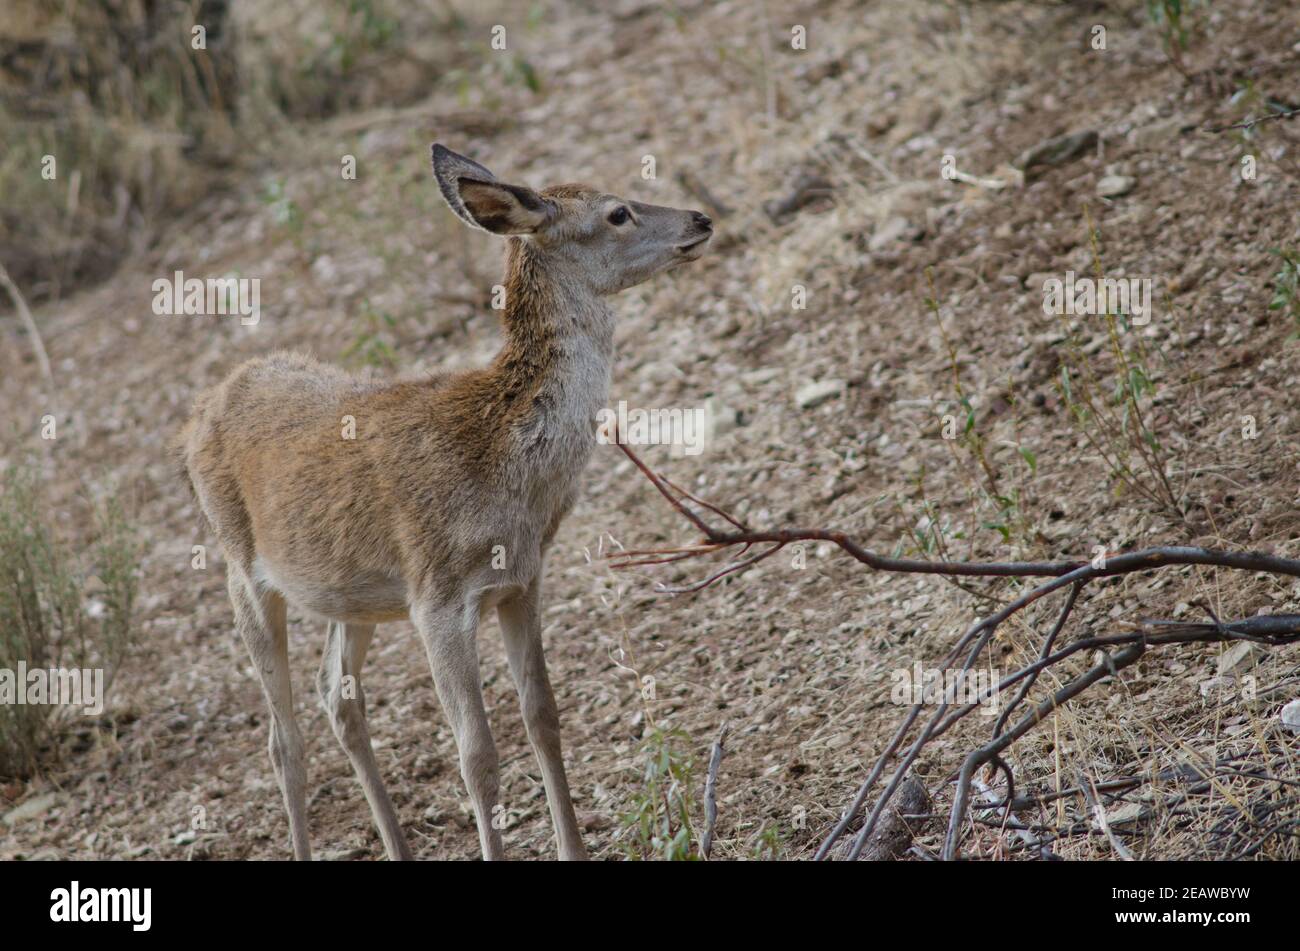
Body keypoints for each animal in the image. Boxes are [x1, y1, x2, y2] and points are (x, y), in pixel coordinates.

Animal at [176, 144, 713, 860]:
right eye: (617, 212)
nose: (700, 218)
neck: (504, 471)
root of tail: (199, 412)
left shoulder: (521, 580)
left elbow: (543, 717)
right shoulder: (436, 599)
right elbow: (476, 755)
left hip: (355, 593)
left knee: (336, 696)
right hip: (243, 569)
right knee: (282, 740)